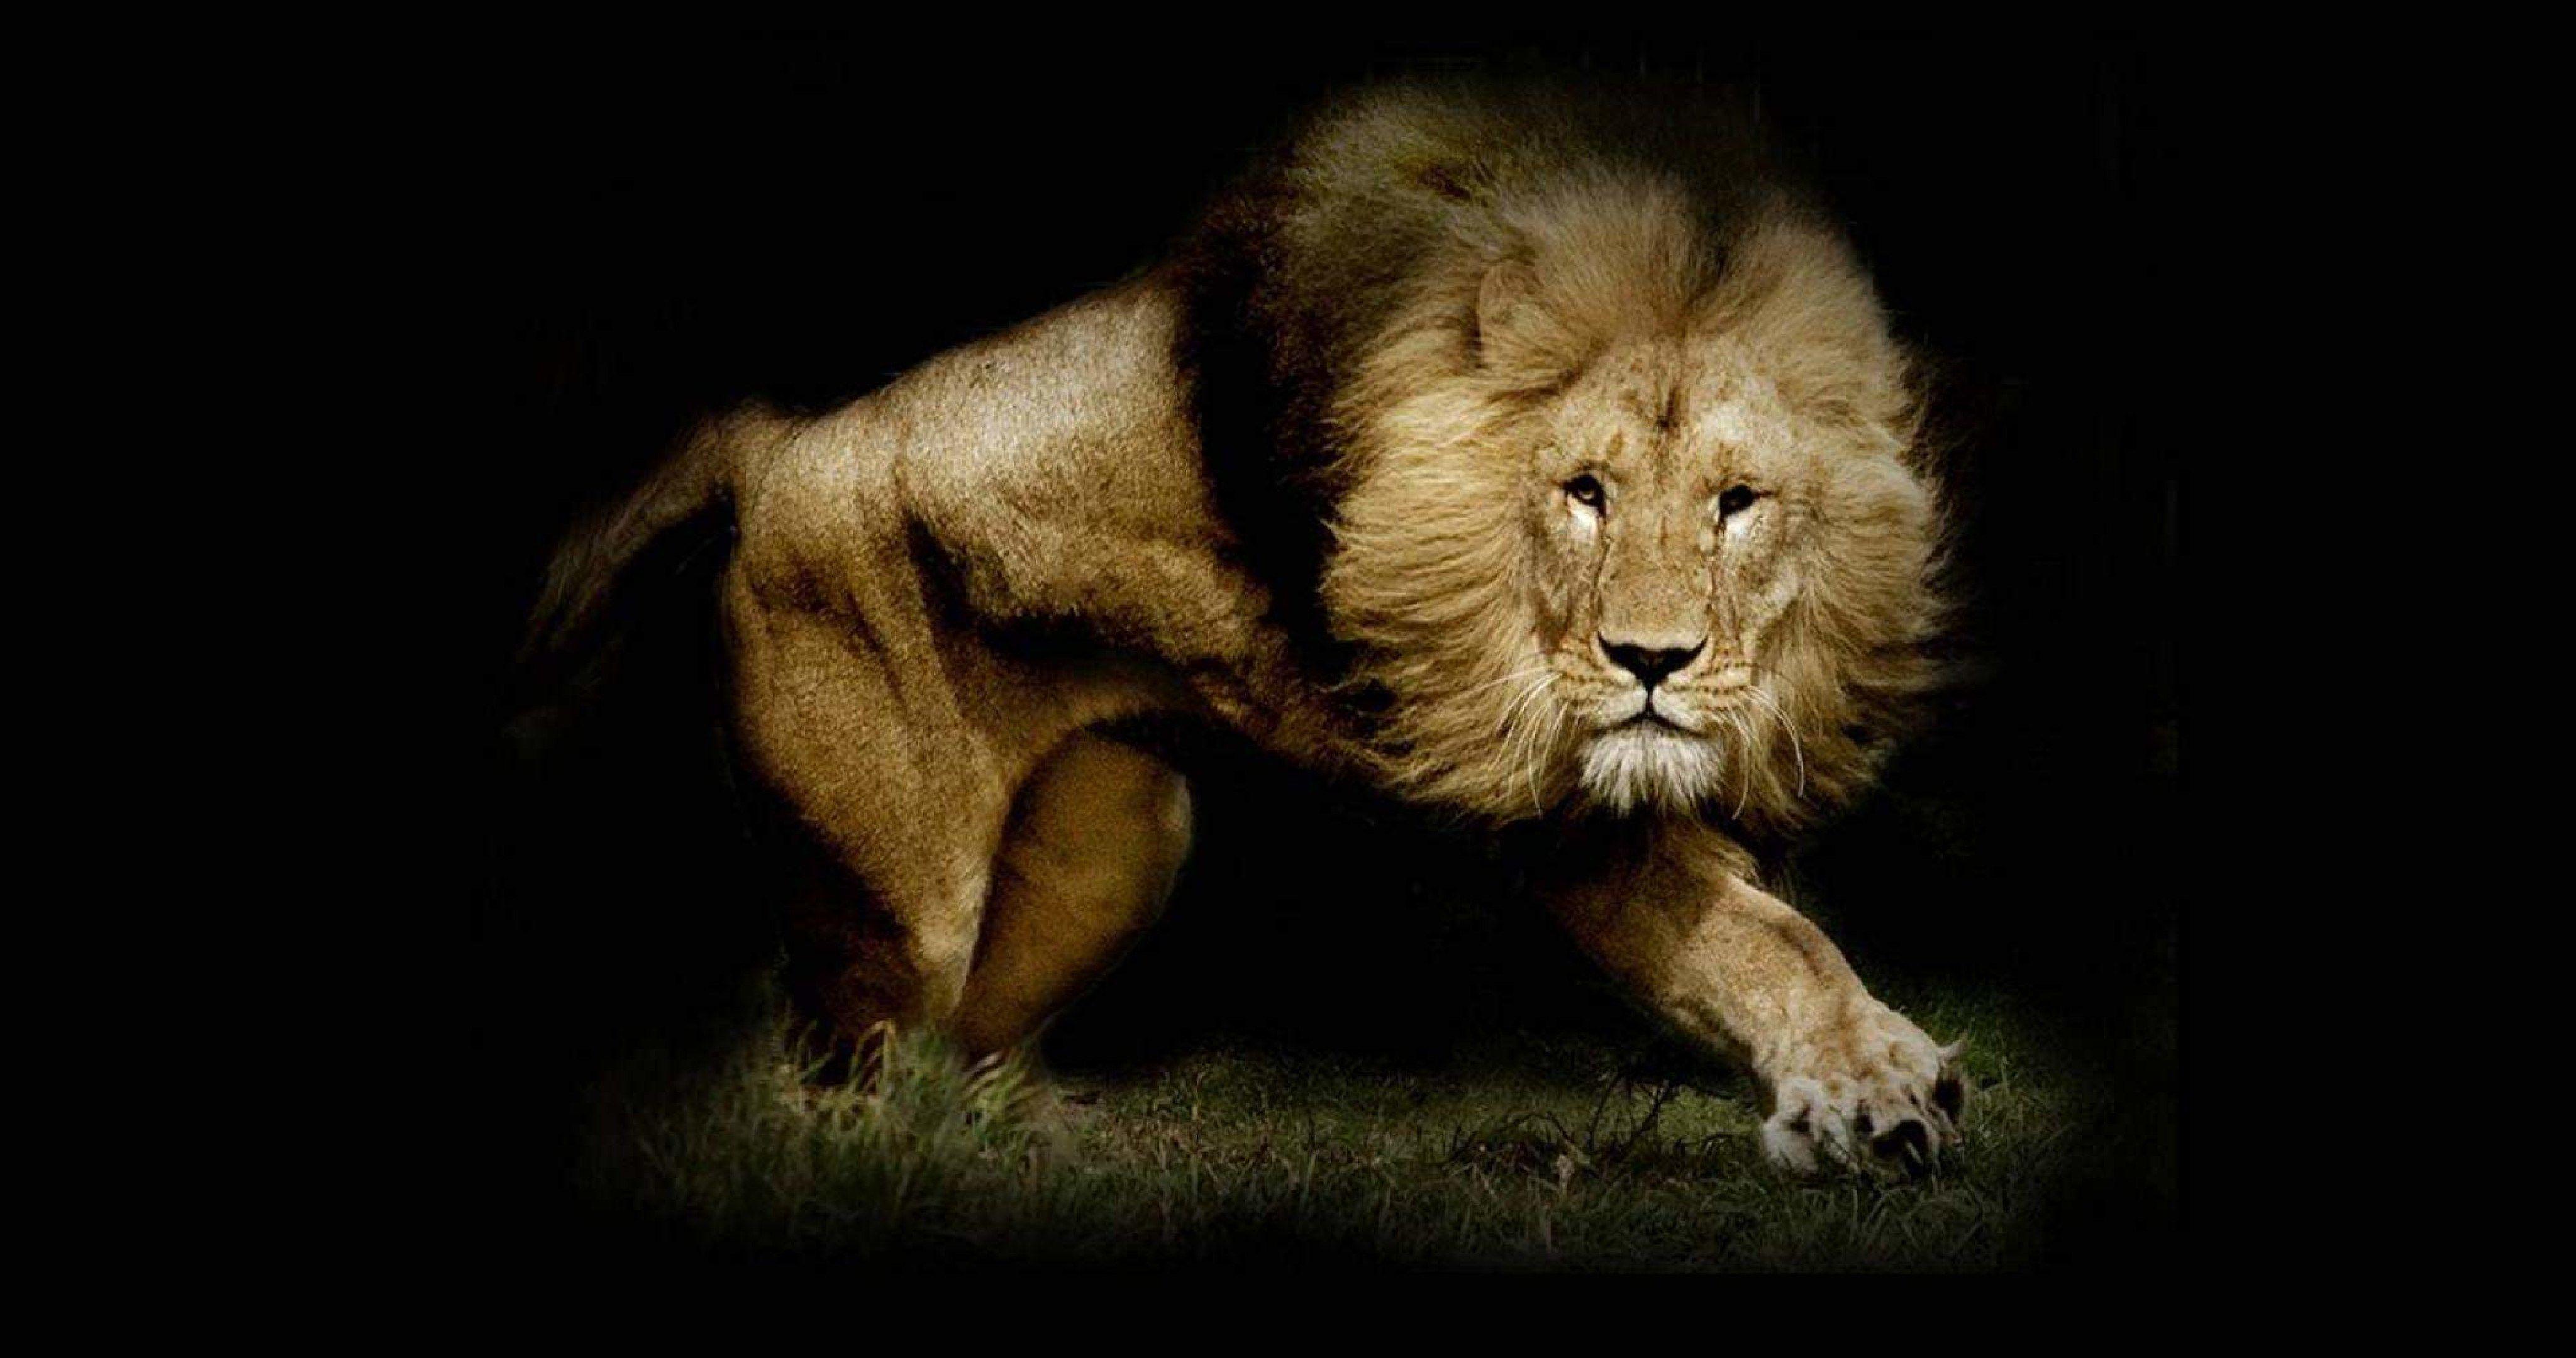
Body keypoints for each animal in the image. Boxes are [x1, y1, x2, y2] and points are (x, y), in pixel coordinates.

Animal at [524, 80, 1966, 1175]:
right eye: (1583, 492)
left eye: (1738, 502)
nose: (1652, 663)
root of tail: (775, 444)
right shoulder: (1532, 792)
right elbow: (1757, 937)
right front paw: (1872, 1088)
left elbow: (1770, 919)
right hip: (895, 917)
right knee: (822, 1083)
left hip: (1118, 847)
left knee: (959, 1054)